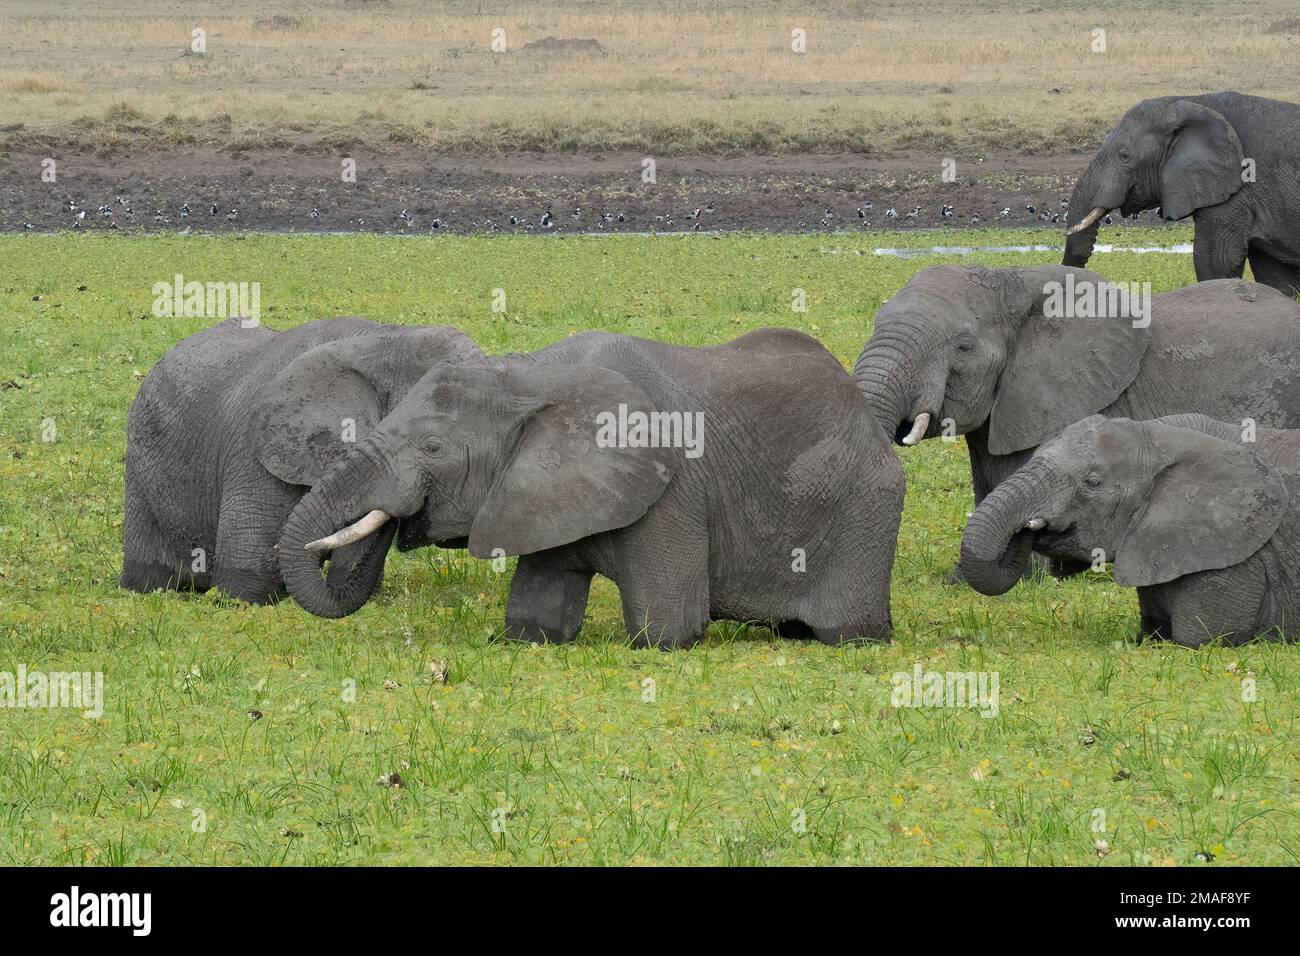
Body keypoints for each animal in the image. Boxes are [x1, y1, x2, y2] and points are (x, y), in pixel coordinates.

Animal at [274, 328, 904, 649]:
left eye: (432, 448)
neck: (530, 374)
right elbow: (534, 616)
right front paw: (533, 636)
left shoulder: (673, 489)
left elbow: (668, 628)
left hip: (865, 504)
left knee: (845, 628)